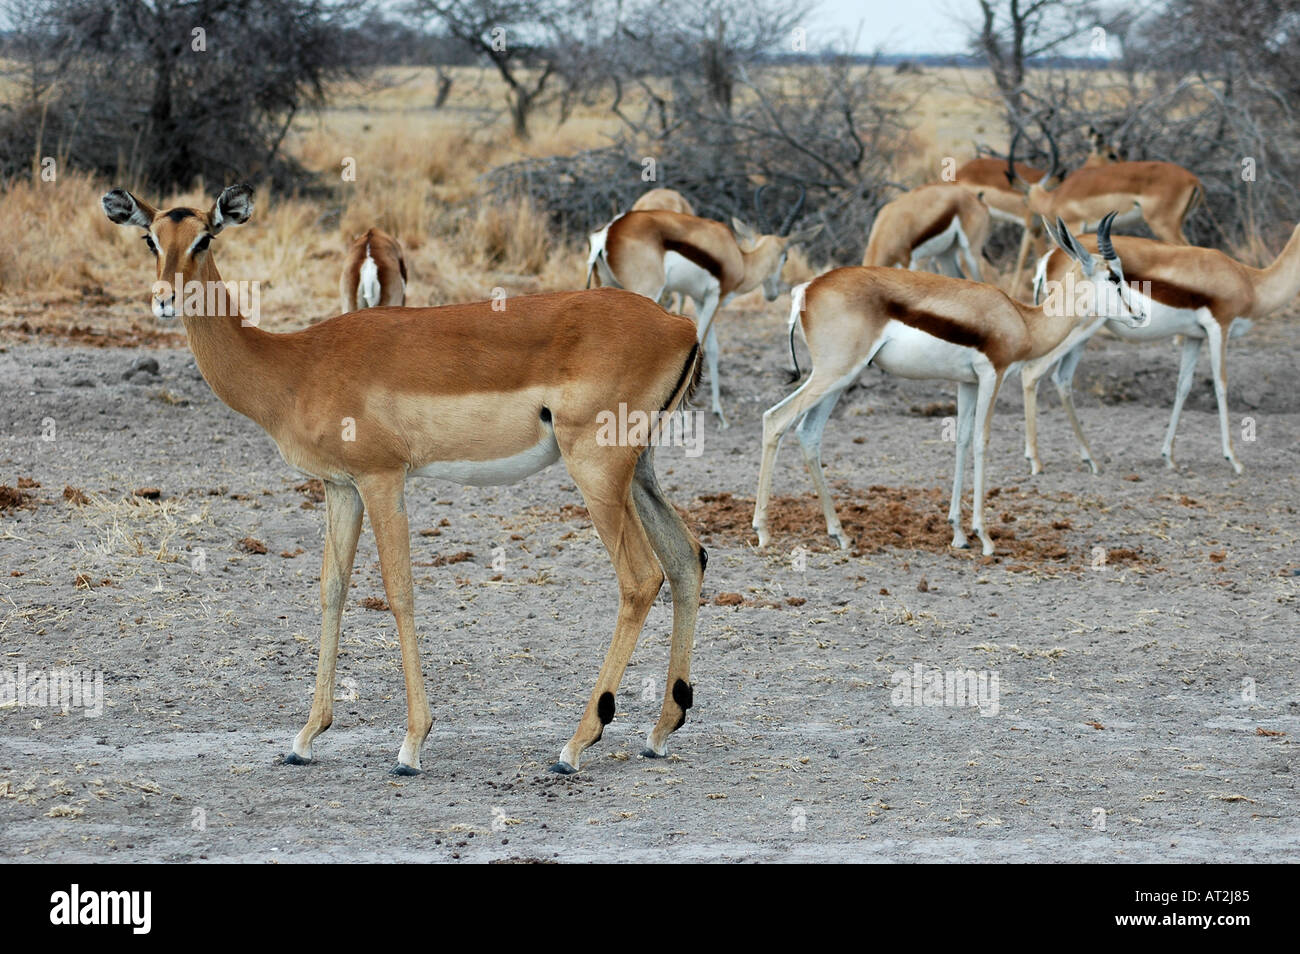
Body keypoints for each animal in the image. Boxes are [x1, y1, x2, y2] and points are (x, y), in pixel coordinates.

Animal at [103, 183, 707, 777]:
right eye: (150, 238)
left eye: (204, 237)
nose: (164, 299)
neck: (296, 365)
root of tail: (681, 326)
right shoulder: (340, 487)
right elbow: (332, 589)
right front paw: (305, 738)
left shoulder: (382, 478)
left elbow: (399, 591)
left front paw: (412, 746)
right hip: (637, 472)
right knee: (687, 557)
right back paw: (660, 731)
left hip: (597, 470)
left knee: (640, 577)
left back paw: (575, 745)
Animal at [587, 193, 820, 428]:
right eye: (786, 257)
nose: (772, 295)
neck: (738, 258)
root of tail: (608, 232)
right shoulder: (714, 298)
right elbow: (703, 344)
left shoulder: (700, 300)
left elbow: (714, 349)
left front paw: (720, 414)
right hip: (647, 291)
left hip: (608, 288)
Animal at [752, 214, 1146, 556]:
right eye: (1114, 277)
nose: (1140, 314)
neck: (1022, 320)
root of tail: (807, 289)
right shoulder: (993, 375)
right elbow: (982, 443)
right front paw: (984, 537)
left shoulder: (967, 383)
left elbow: (962, 441)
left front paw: (958, 533)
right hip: (834, 373)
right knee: (775, 419)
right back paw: (763, 531)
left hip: (839, 378)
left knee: (808, 433)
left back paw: (841, 535)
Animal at [1021, 223, 1300, 475]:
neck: (1250, 281)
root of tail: (1050, 257)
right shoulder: (1220, 328)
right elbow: (1221, 385)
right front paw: (1234, 460)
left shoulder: (1194, 337)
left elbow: (1183, 386)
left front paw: (1169, 457)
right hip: (1078, 328)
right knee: (1033, 371)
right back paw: (1035, 461)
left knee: (1062, 379)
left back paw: (1091, 460)